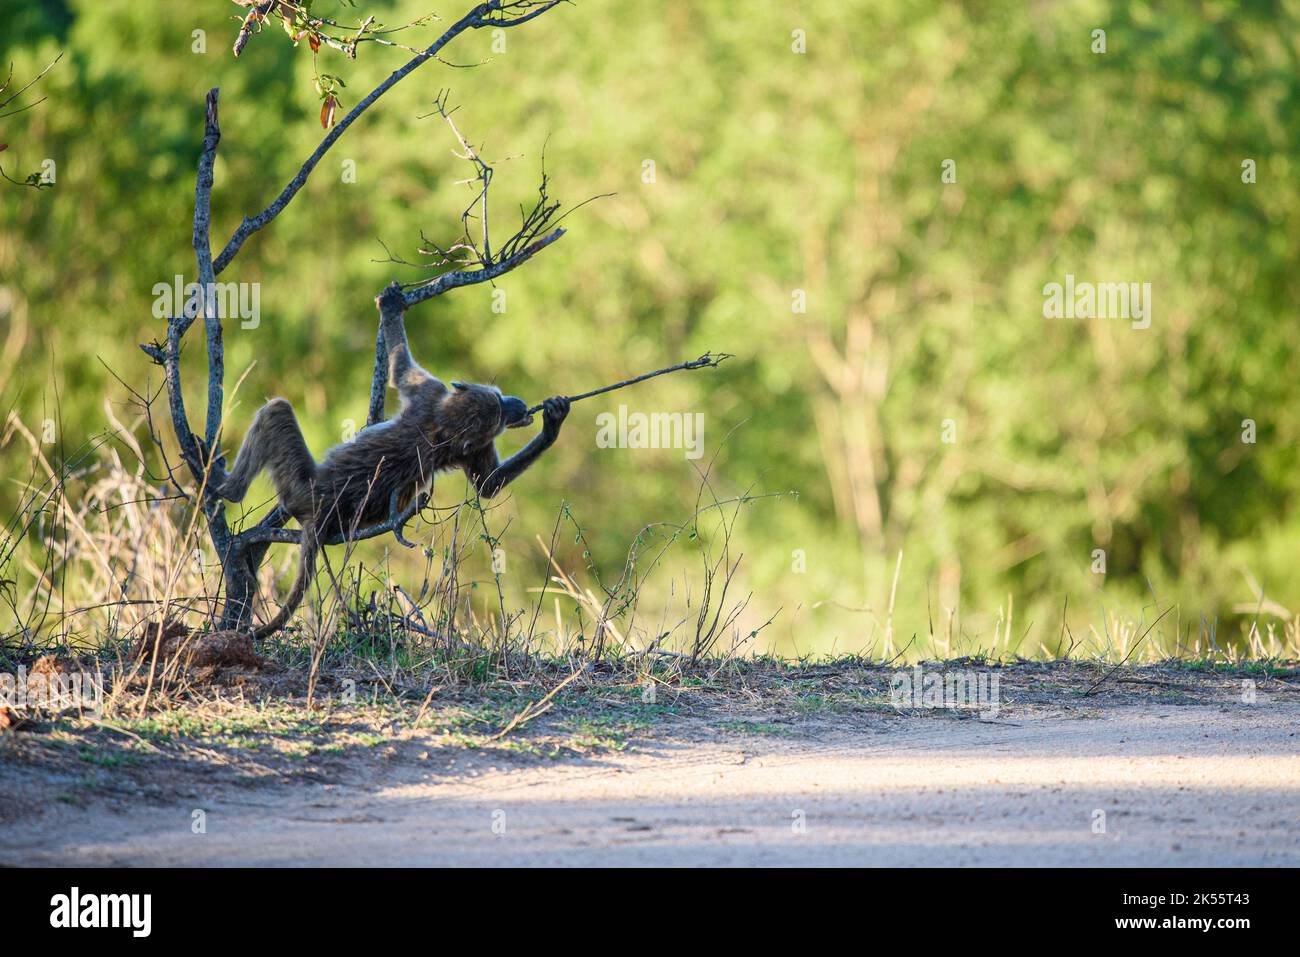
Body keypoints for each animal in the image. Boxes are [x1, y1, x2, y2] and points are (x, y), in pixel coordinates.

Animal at [204, 297, 570, 639]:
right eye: (497, 403)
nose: (516, 406)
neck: (445, 425)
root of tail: (321, 515)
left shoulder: (428, 393)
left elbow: (401, 370)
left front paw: (392, 306)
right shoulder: (465, 440)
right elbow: (488, 485)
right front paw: (552, 425)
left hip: (297, 487)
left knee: (276, 411)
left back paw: (221, 483)